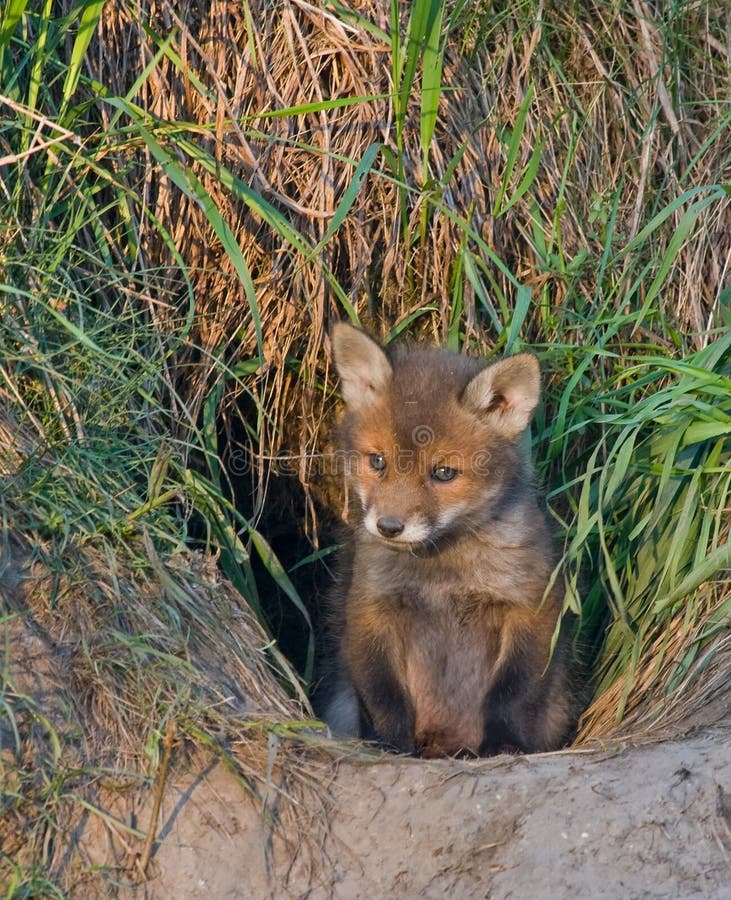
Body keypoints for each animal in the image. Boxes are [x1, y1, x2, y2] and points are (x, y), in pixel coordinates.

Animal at [319, 322, 577, 757]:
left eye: (443, 473)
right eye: (377, 461)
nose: (389, 527)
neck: (443, 574)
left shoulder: (533, 607)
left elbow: (511, 695)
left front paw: (504, 744)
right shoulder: (369, 609)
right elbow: (384, 699)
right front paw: (391, 747)